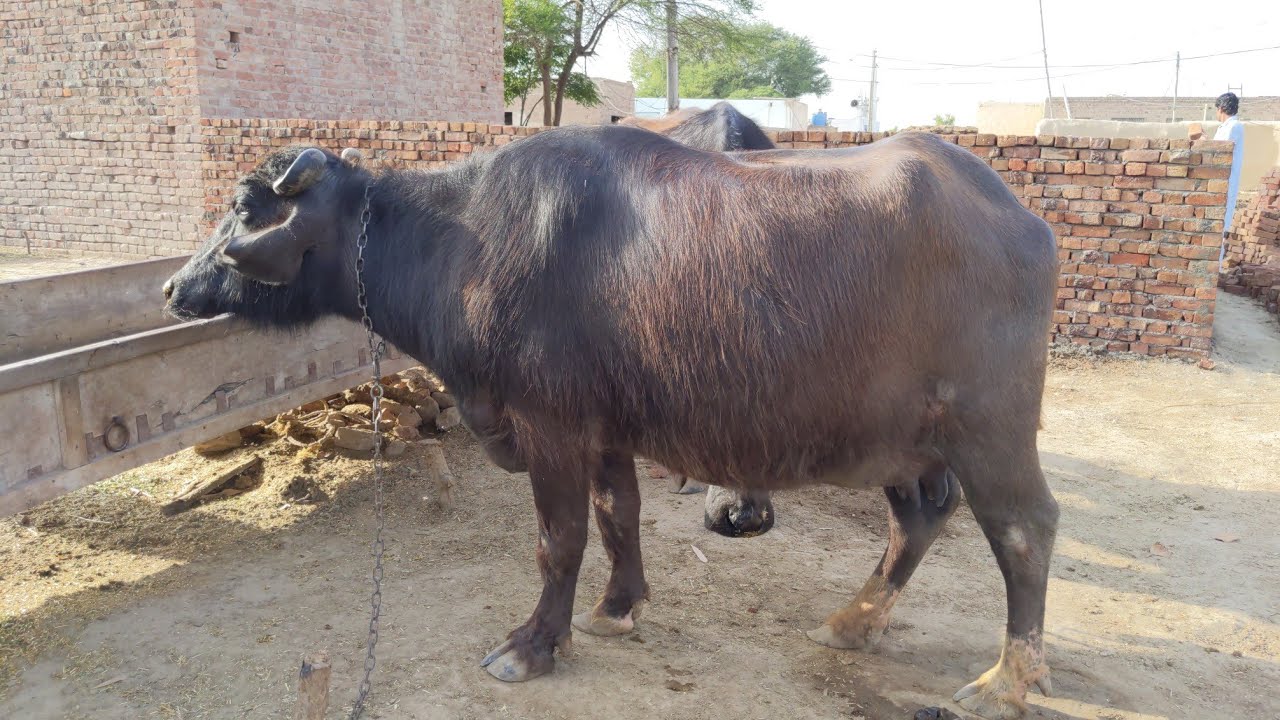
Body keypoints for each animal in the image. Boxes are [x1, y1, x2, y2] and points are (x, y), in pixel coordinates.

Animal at [163, 126, 1060, 719]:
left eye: (243, 206)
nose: (175, 287)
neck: (465, 241)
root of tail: (1020, 218)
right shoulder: (607, 431)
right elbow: (616, 515)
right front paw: (619, 607)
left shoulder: (550, 424)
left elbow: (559, 539)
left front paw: (533, 644)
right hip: (907, 441)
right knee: (920, 517)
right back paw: (854, 621)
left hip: (991, 428)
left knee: (1025, 529)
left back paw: (1006, 680)